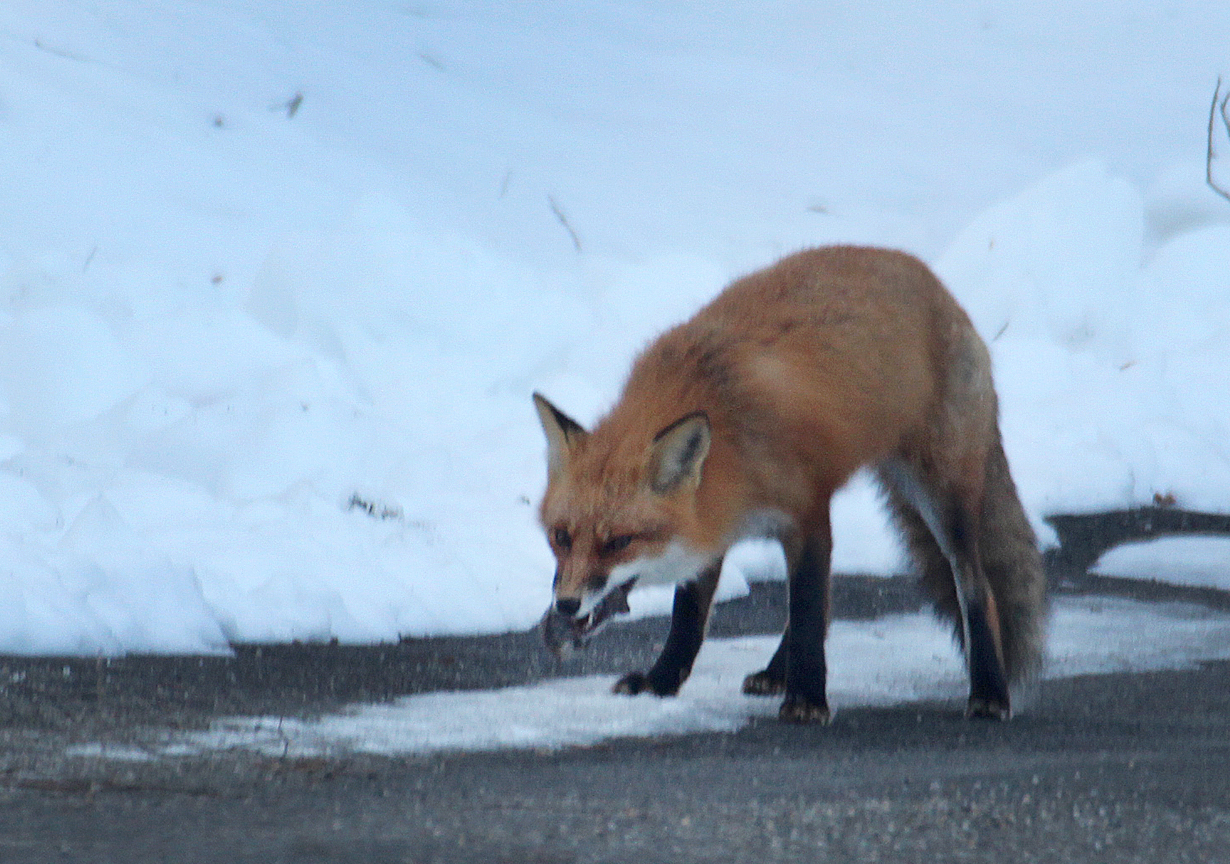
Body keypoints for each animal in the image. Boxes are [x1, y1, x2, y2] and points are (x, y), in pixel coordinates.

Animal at [533, 246, 1047, 722]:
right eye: (560, 537)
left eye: (619, 542)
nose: (565, 605)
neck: (731, 436)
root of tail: (935, 283)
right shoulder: (713, 527)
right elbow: (689, 622)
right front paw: (660, 684)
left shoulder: (806, 516)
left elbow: (805, 609)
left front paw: (807, 699)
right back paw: (776, 671)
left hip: (944, 499)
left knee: (976, 587)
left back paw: (989, 691)